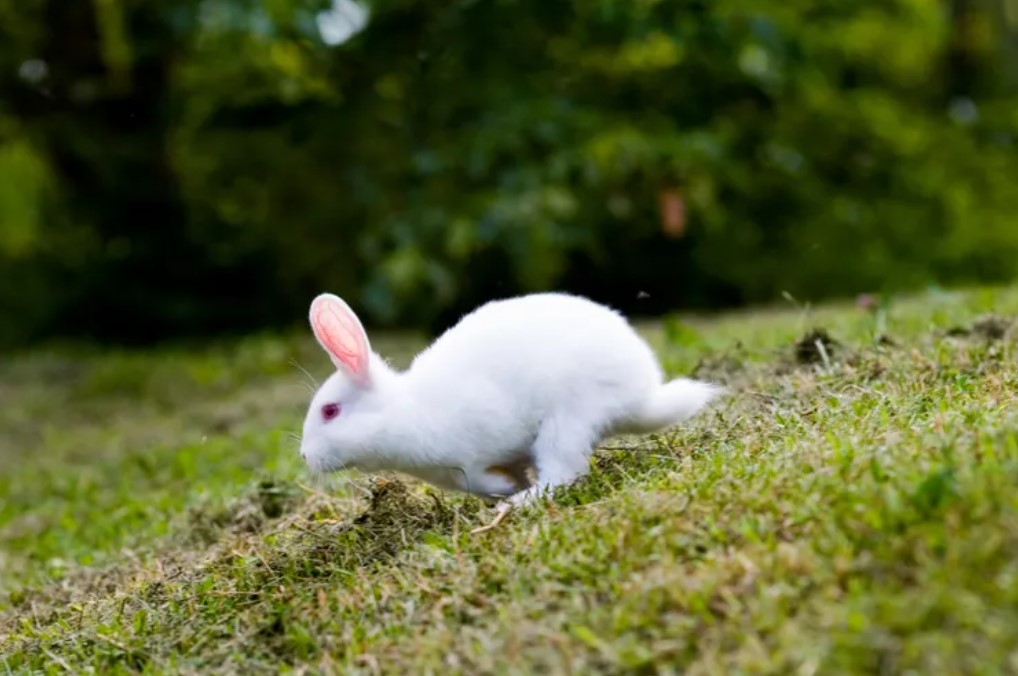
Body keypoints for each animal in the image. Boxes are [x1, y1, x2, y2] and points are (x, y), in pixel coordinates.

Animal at [299, 292, 721, 512]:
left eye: (330, 411)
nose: (304, 456)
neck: (404, 411)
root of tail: (642, 393)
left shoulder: (467, 462)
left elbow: (484, 479)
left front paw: (506, 489)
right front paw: (511, 484)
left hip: (566, 422)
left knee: (563, 475)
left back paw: (515, 504)